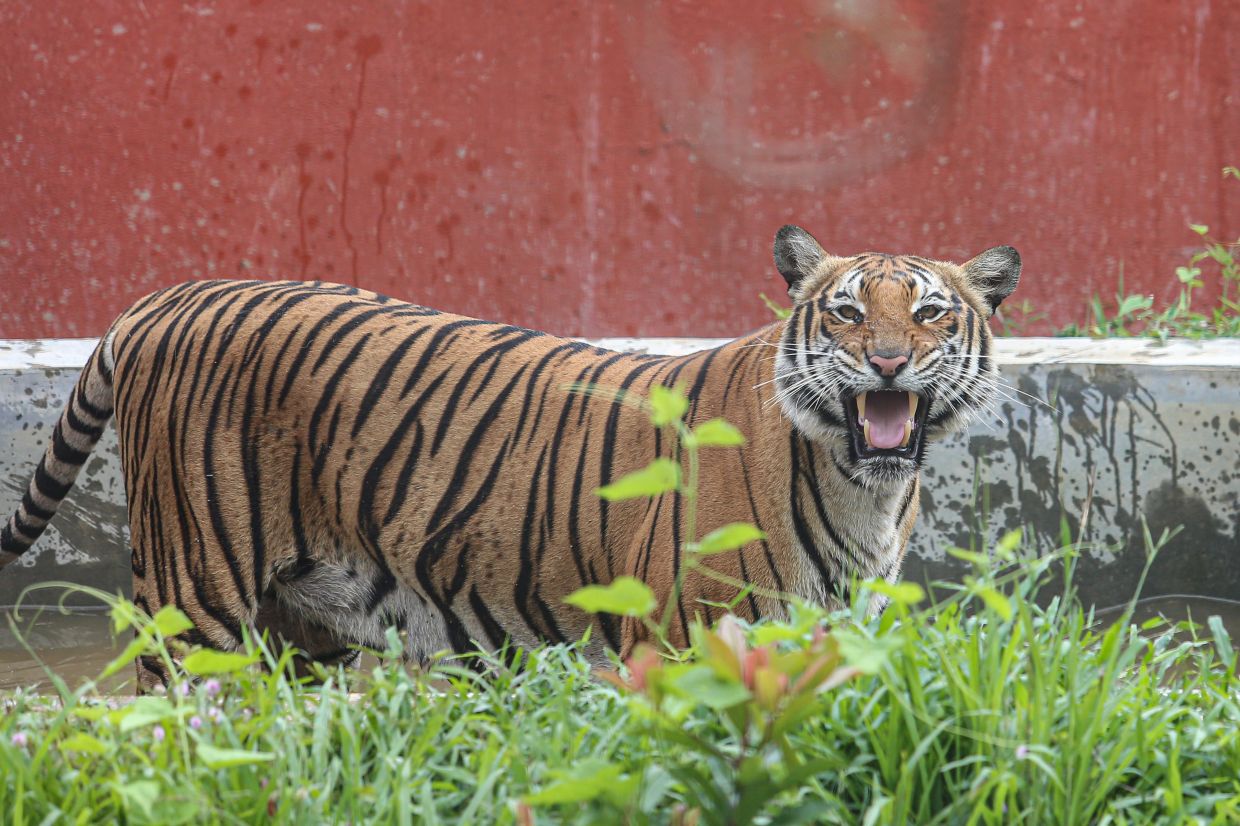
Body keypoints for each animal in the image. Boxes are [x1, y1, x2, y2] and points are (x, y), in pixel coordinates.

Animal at [1, 225, 1018, 690]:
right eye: (845, 312)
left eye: (930, 313)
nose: (884, 361)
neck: (864, 490)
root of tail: (170, 295)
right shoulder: (675, 641)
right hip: (194, 601)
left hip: (298, 628)